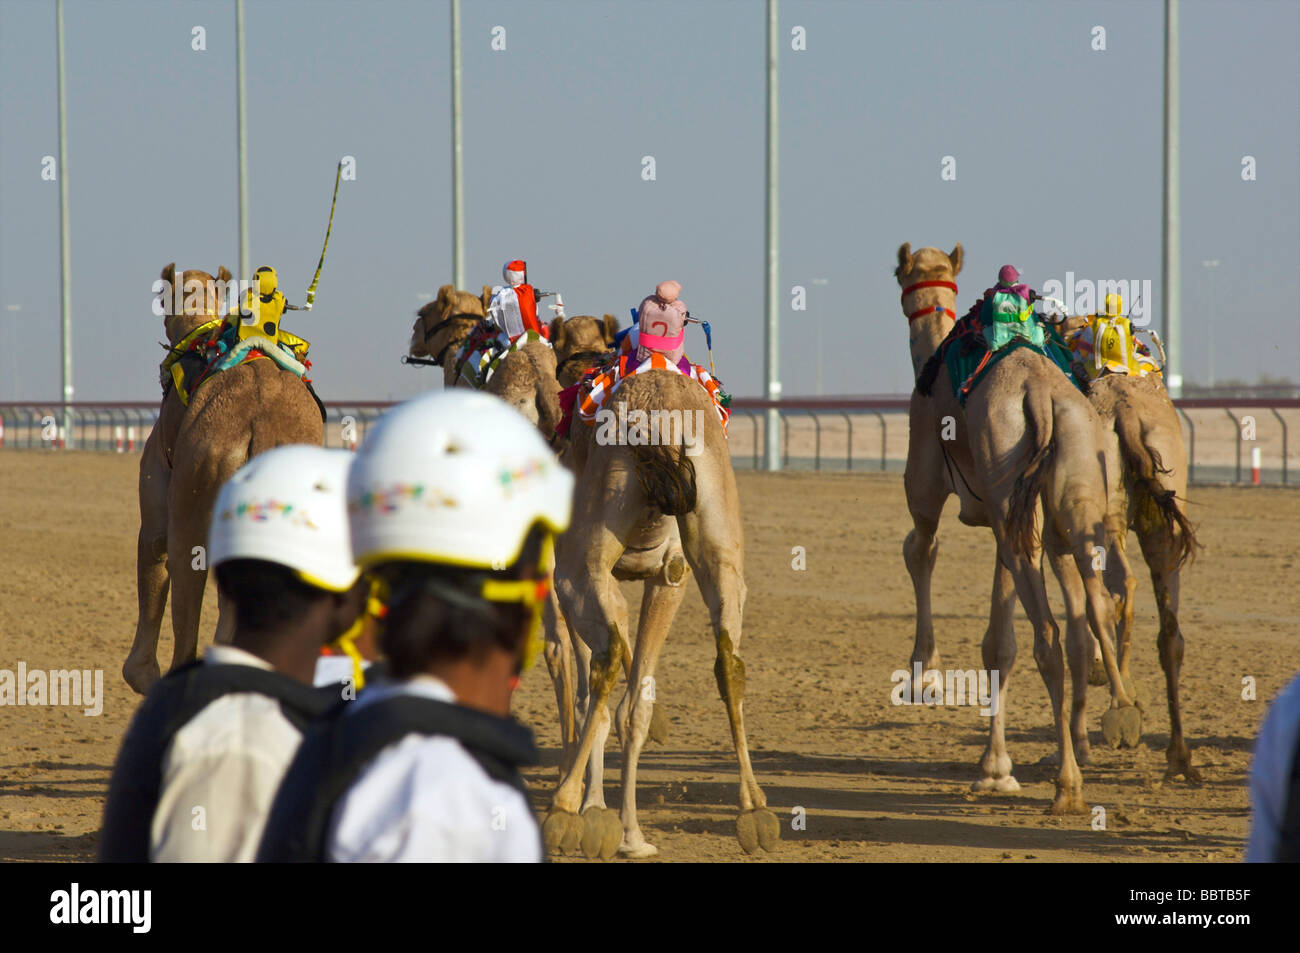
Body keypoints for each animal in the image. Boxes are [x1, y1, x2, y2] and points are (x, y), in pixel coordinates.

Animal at [543, 370, 778, 857]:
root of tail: (662, 419)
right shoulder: (668, 575)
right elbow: (632, 700)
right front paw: (613, 823)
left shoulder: (579, 578)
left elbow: (587, 686)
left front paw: (593, 811)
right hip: (717, 538)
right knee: (727, 660)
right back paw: (754, 813)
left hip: (582, 560)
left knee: (607, 655)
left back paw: (565, 809)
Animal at [895, 243, 1140, 814]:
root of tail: (1041, 400)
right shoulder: (1005, 520)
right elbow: (999, 642)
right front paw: (996, 766)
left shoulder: (927, 483)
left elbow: (920, 548)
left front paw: (926, 675)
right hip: (1072, 493)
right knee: (1093, 606)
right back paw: (1119, 715)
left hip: (1006, 490)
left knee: (1048, 633)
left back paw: (1068, 784)